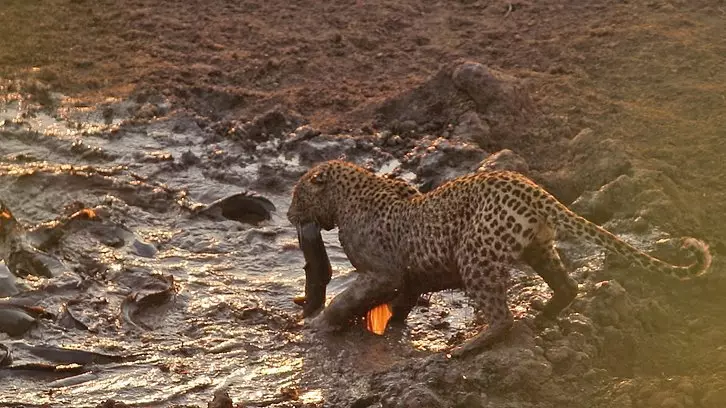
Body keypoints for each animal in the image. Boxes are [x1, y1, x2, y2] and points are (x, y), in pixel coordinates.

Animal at [288, 161, 712, 356]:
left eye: (296, 194)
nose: (290, 216)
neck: (345, 200)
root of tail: (533, 190)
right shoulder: (409, 278)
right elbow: (402, 303)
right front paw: (391, 323)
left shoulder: (383, 273)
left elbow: (349, 299)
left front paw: (320, 325)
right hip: (539, 248)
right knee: (568, 285)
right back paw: (542, 317)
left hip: (475, 255)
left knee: (503, 316)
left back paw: (466, 347)